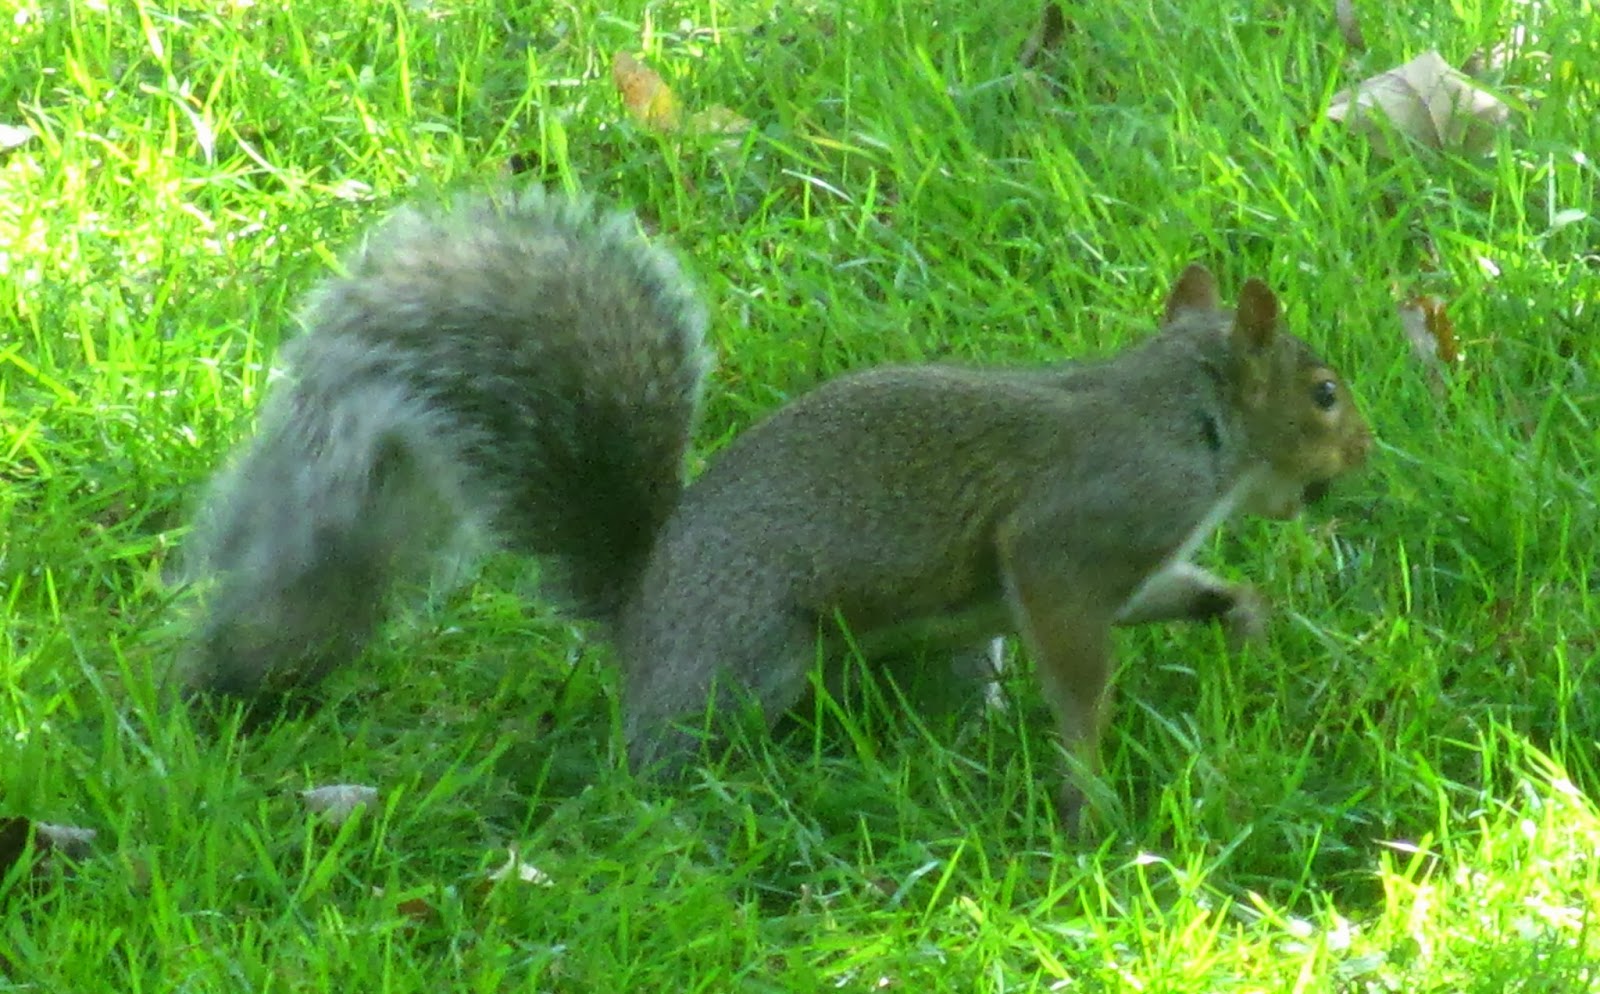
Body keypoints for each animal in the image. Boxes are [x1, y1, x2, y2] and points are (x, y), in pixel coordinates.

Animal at [180, 188, 1372, 826]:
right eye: (1322, 391)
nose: (1363, 448)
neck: (1187, 417)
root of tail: (640, 615)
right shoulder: (1078, 530)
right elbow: (1074, 654)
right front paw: (1088, 787)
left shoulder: (1128, 558)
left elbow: (1166, 594)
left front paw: (1237, 610)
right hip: (752, 651)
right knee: (673, 754)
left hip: (938, 648)